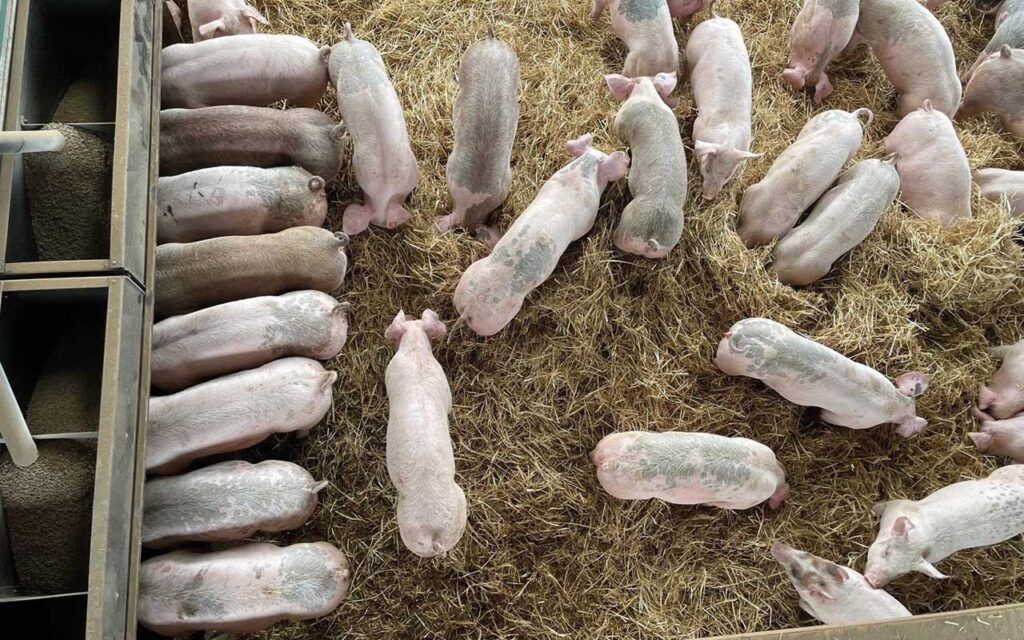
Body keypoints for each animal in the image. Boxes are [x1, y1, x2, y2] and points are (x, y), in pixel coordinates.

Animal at [591, 431, 790, 510]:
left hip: (621, 436)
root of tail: (605, 459)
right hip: (623, 489)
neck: (770, 471)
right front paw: (707, 504)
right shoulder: (739, 502)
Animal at [685, 8, 760, 199]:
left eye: (727, 175)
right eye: (708, 168)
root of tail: (716, 19)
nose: (708, 197)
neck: (727, 140)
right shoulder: (698, 124)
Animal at [770, 543, 912, 624]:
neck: (833, 587)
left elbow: (802, 604)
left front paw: (798, 601)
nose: (775, 545)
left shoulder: (822, 615)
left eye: (794, 573)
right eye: (806, 553)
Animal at [864, 465, 1024, 587]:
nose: (872, 581)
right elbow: (882, 506)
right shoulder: (899, 504)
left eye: (901, 572)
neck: (924, 538)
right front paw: (872, 508)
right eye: (887, 551)